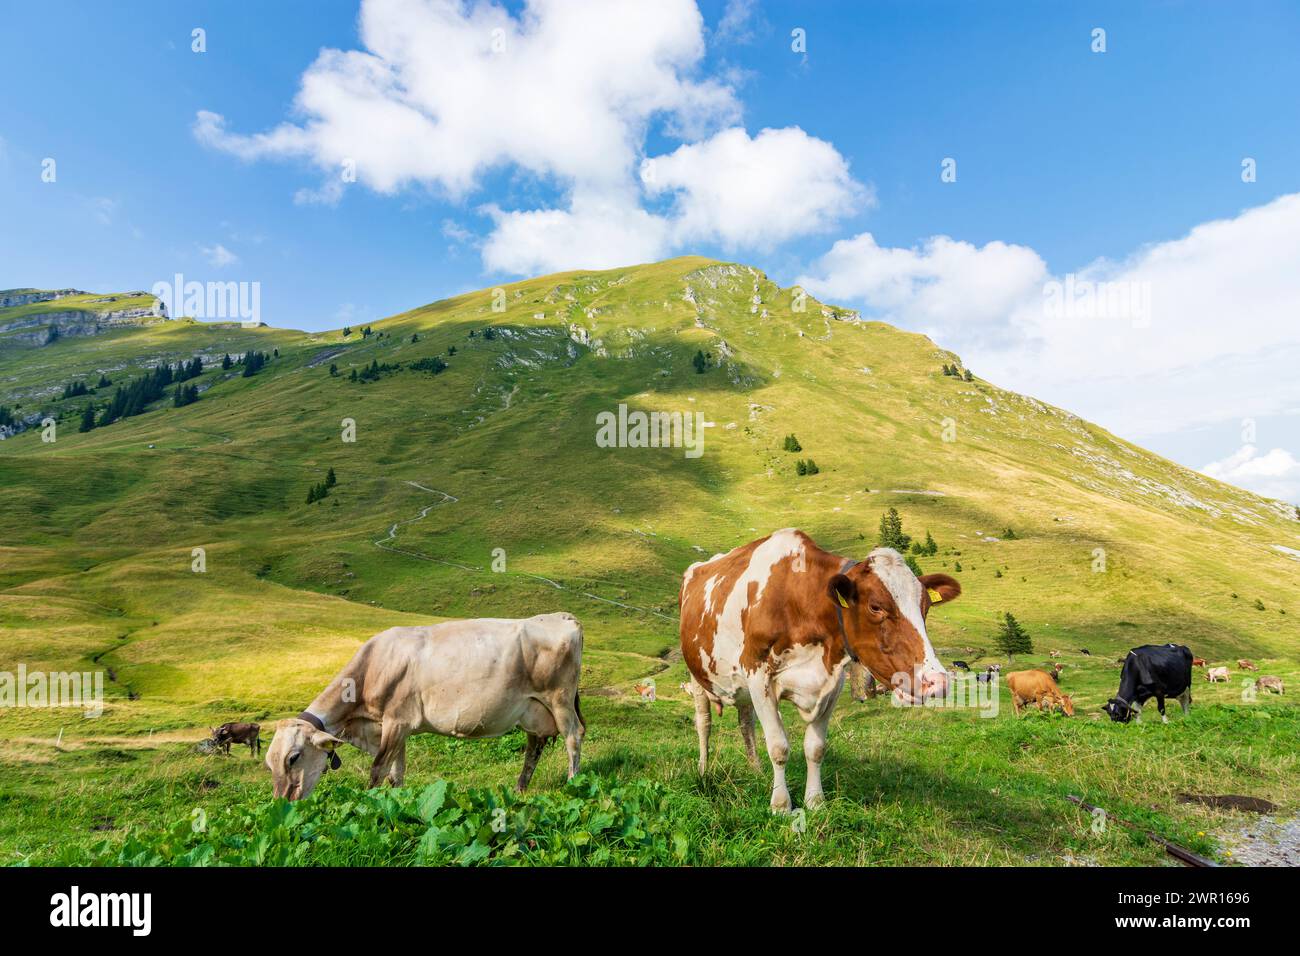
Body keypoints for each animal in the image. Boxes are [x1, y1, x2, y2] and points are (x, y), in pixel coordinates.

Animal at [264, 613, 585, 801]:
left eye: (293, 758)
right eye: (269, 762)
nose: (281, 805)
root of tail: (563, 617)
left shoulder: (397, 721)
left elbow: (378, 769)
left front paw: (368, 804)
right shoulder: (395, 729)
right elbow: (396, 774)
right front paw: (395, 804)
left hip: (560, 699)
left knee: (573, 736)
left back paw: (573, 783)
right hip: (532, 709)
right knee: (534, 746)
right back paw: (519, 789)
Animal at [679, 530, 959, 812]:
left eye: (926, 607)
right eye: (876, 606)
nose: (937, 681)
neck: (798, 598)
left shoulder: (833, 683)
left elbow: (815, 748)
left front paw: (815, 801)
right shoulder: (758, 675)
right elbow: (778, 747)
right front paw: (781, 805)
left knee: (745, 722)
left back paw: (755, 770)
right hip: (697, 676)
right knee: (704, 723)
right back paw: (703, 769)